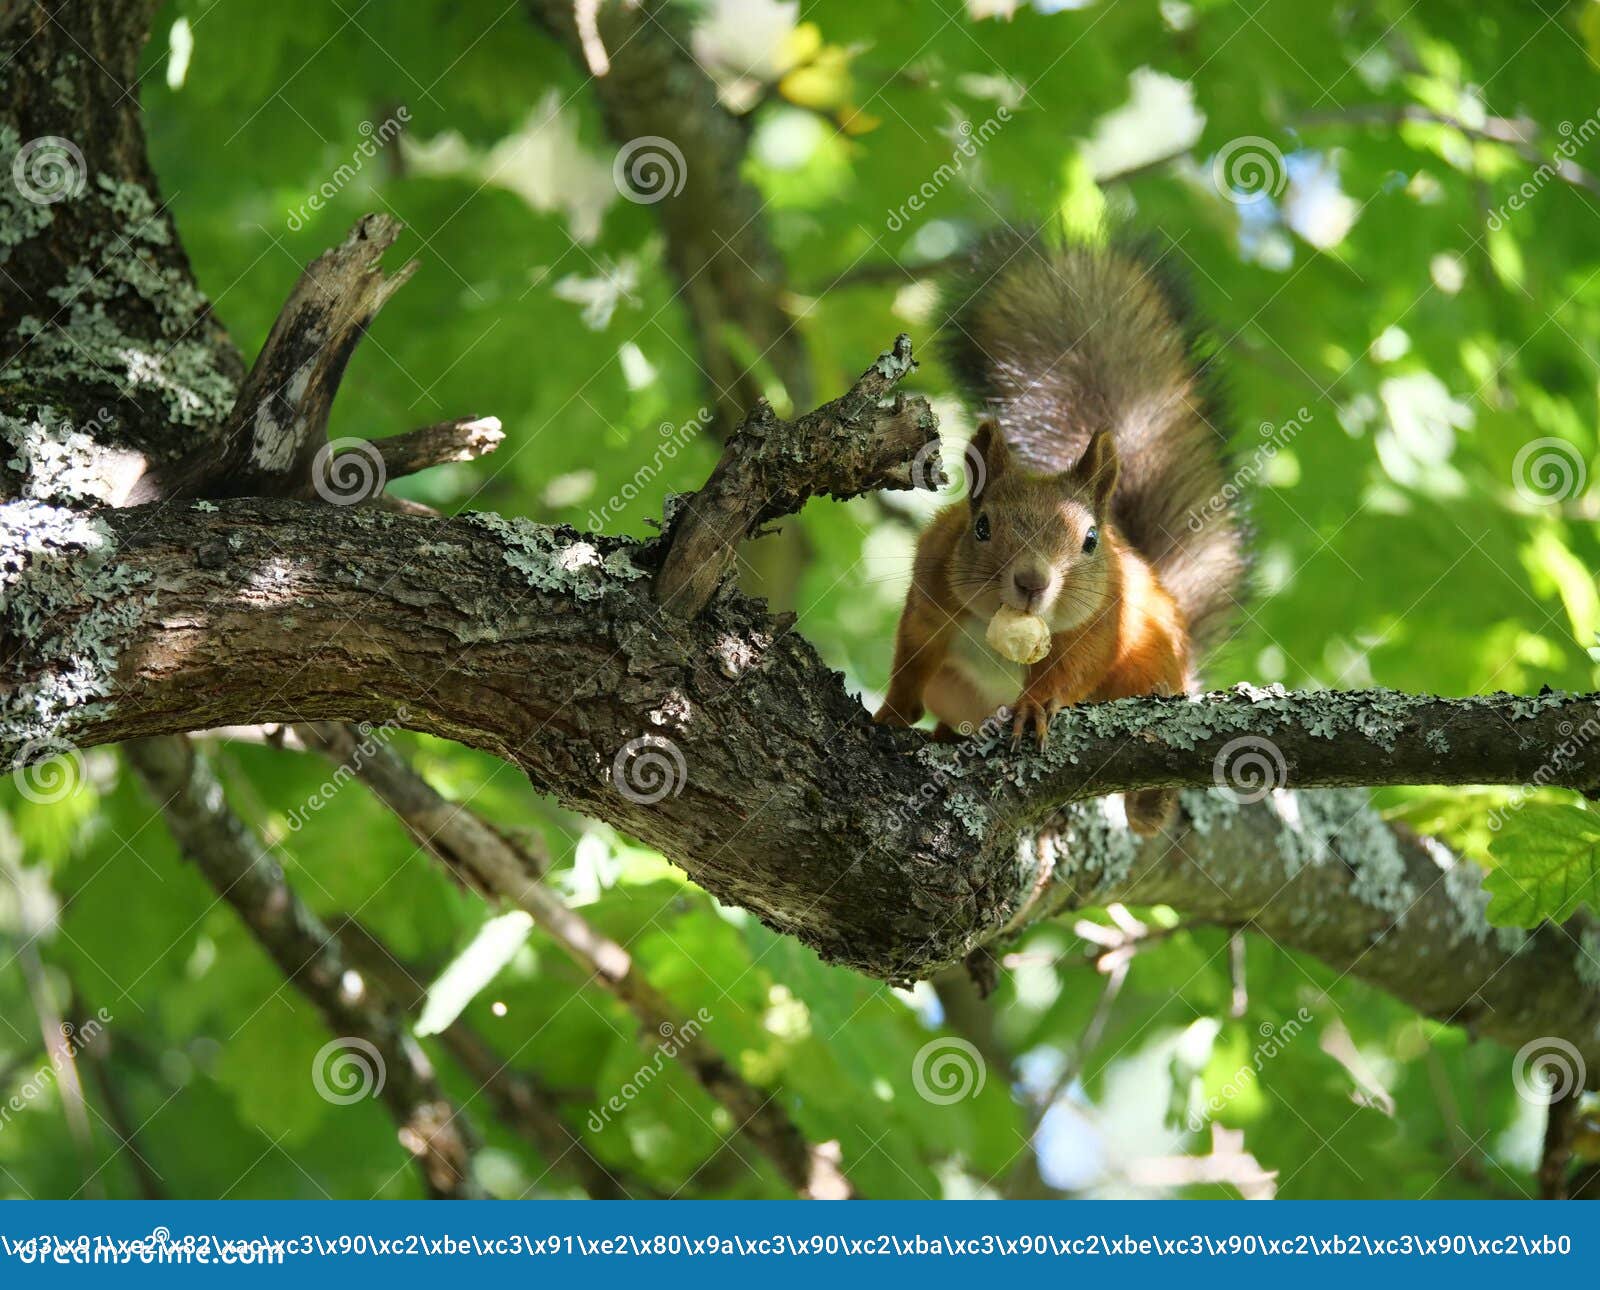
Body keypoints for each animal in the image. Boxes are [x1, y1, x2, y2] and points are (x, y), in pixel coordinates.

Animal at [874, 227, 1247, 835]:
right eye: (981, 526)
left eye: (1091, 540)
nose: (1032, 582)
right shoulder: (929, 592)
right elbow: (912, 655)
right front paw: (890, 712)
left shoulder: (1104, 620)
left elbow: (1074, 667)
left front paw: (1033, 707)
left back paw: (1150, 802)